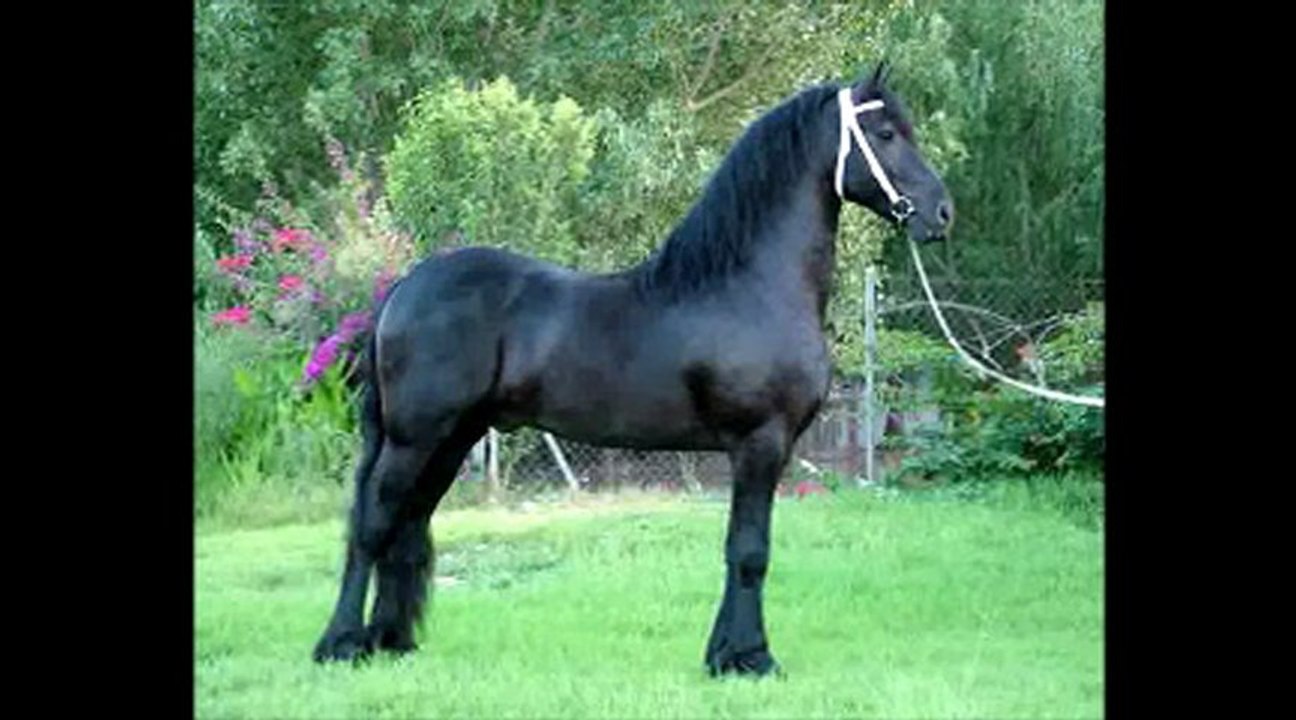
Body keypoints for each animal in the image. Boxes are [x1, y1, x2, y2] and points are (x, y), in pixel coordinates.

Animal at [312, 62, 954, 677]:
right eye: (886, 133)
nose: (941, 213)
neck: (749, 286)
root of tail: (405, 287)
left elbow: (738, 547)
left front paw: (723, 653)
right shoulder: (760, 442)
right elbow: (750, 551)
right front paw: (751, 658)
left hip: (452, 439)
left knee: (407, 525)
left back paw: (391, 642)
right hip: (415, 437)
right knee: (374, 525)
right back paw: (340, 645)